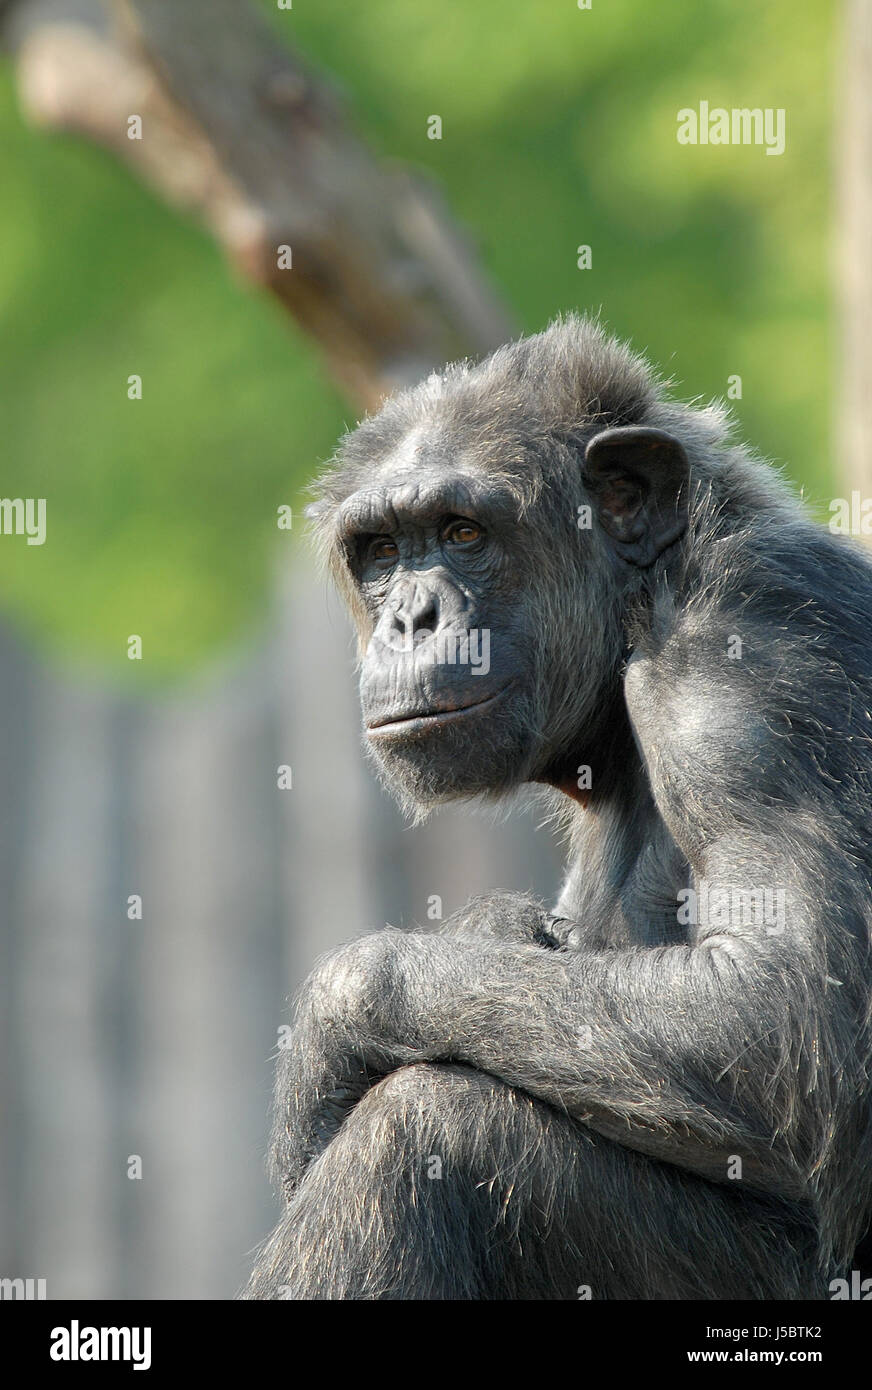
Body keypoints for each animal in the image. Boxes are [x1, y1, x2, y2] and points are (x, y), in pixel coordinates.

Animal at [246, 314, 872, 1300]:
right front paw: (492, 929)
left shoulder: (750, 674)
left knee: (422, 1129)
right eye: (382, 551)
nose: (411, 618)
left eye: (463, 531)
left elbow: (785, 1006)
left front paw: (336, 1017)